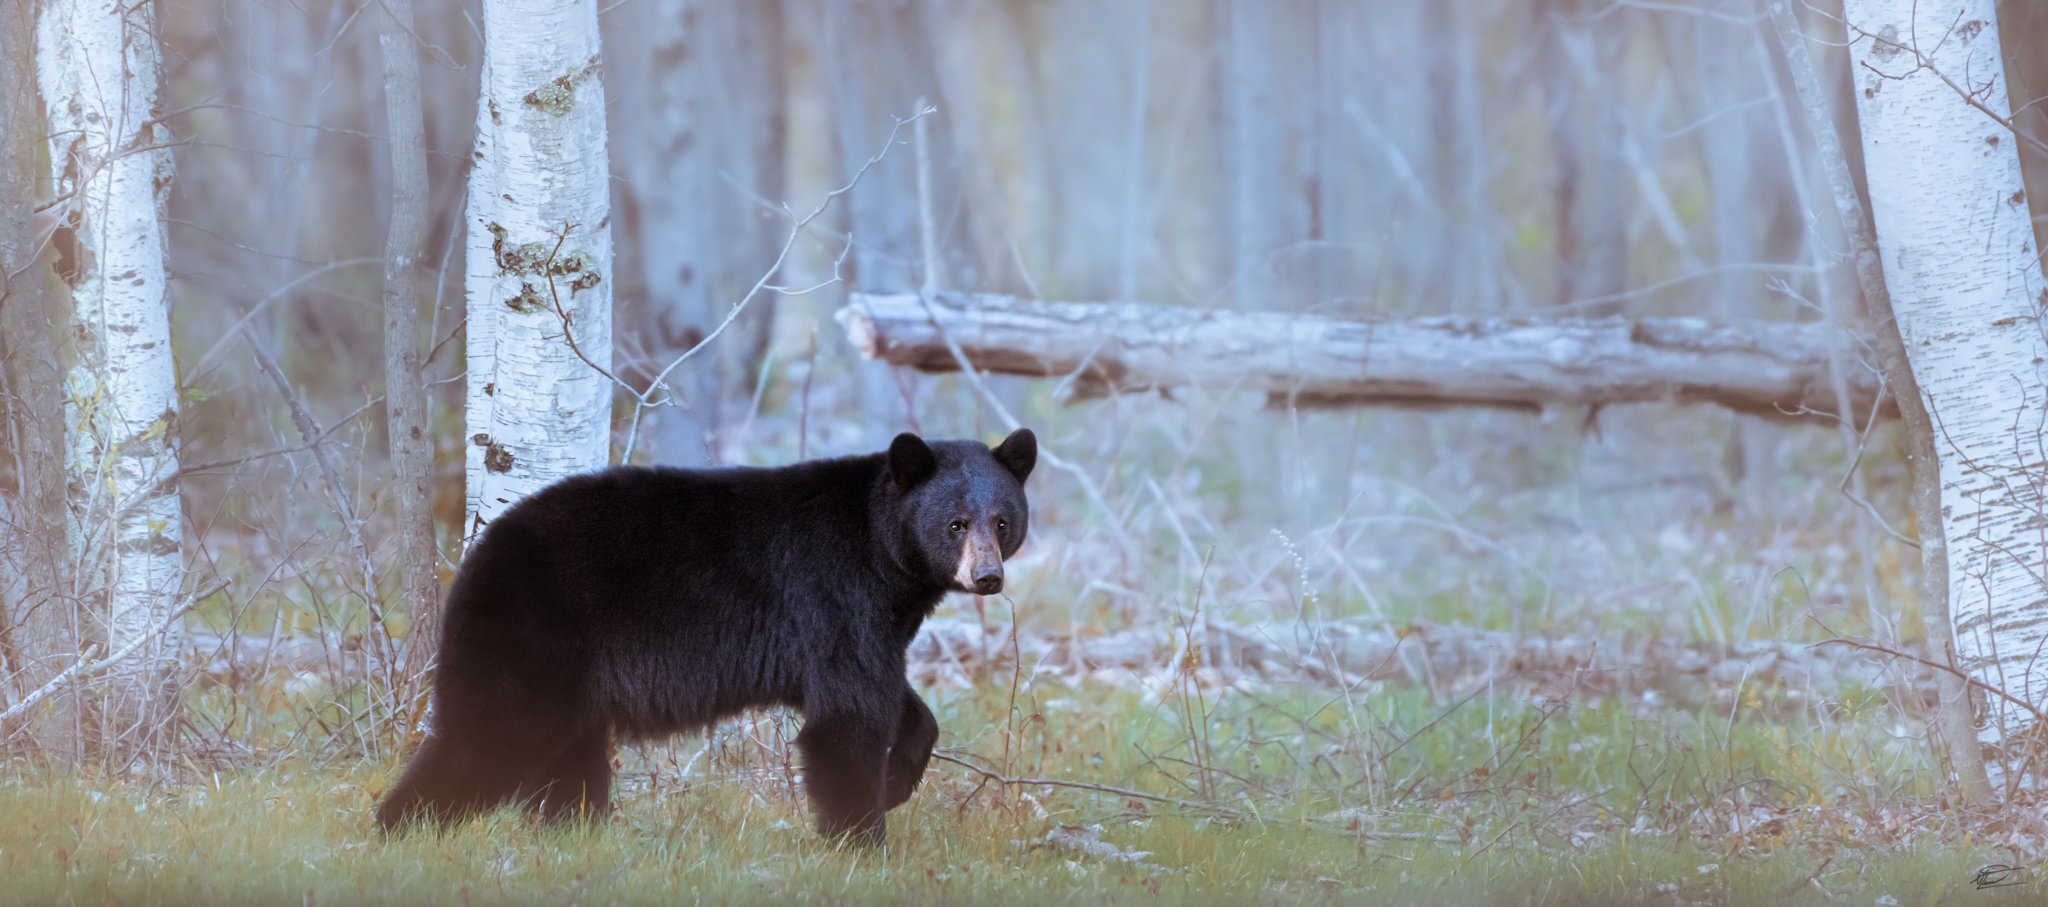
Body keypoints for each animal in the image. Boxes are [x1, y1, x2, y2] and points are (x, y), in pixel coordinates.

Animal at [374, 428, 1036, 845]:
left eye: (1003, 521)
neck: (882, 555)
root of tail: (480, 550)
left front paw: (897, 782)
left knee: (569, 756)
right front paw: (859, 839)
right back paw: (399, 828)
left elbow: (892, 697)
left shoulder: (870, 622)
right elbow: (847, 718)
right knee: (486, 735)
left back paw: (574, 832)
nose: (987, 577)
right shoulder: (833, 596)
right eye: (956, 524)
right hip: (533, 635)